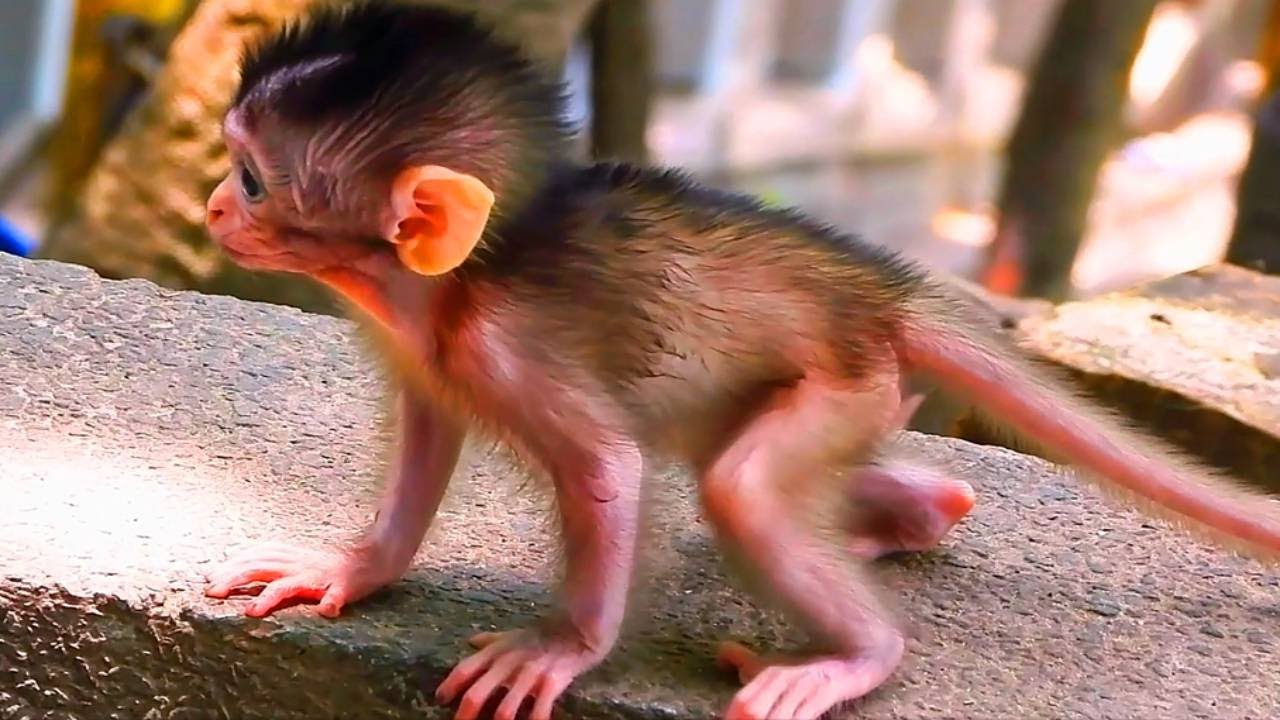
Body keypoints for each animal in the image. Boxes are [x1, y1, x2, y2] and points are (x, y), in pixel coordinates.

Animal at [200, 3, 1280, 719]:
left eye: (252, 179)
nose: (212, 206)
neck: (455, 282)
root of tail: (879, 292)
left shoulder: (504, 347)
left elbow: (607, 471)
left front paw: (559, 650)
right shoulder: (419, 347)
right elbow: (426, 445)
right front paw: (352, 569)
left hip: (844, 384)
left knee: (743, 488)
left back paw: (858, 654)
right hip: (855, 396)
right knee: (793, 477)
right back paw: (917, 515)